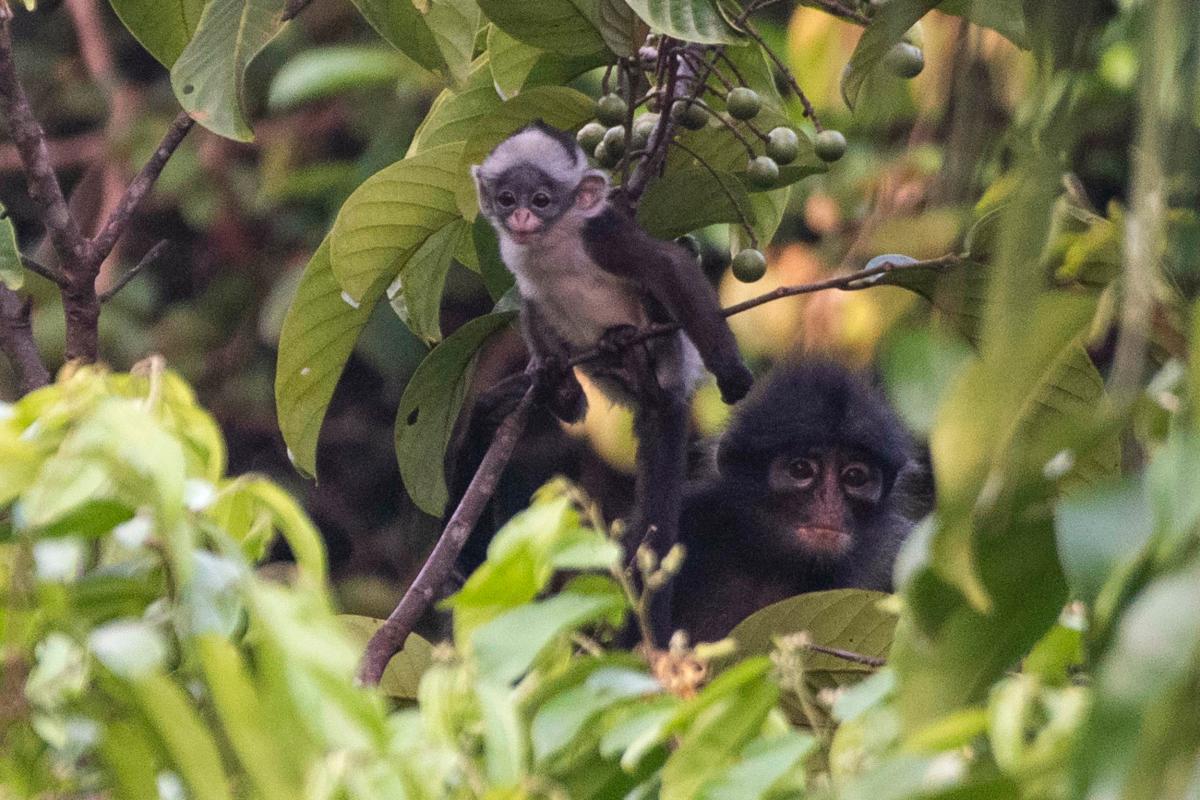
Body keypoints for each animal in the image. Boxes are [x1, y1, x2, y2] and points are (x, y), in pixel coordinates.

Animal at [472, 120, 753, 642]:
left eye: (541, 199)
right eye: (506, 197)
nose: (520, 216)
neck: (552, 242)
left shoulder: (604, 236)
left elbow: (667, 265)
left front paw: (731, 370)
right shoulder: (514, 255)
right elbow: (528, 299)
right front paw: (551, 379)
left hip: (669, 351)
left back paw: (628, 350)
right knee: (539, 308)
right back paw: (567, 389)